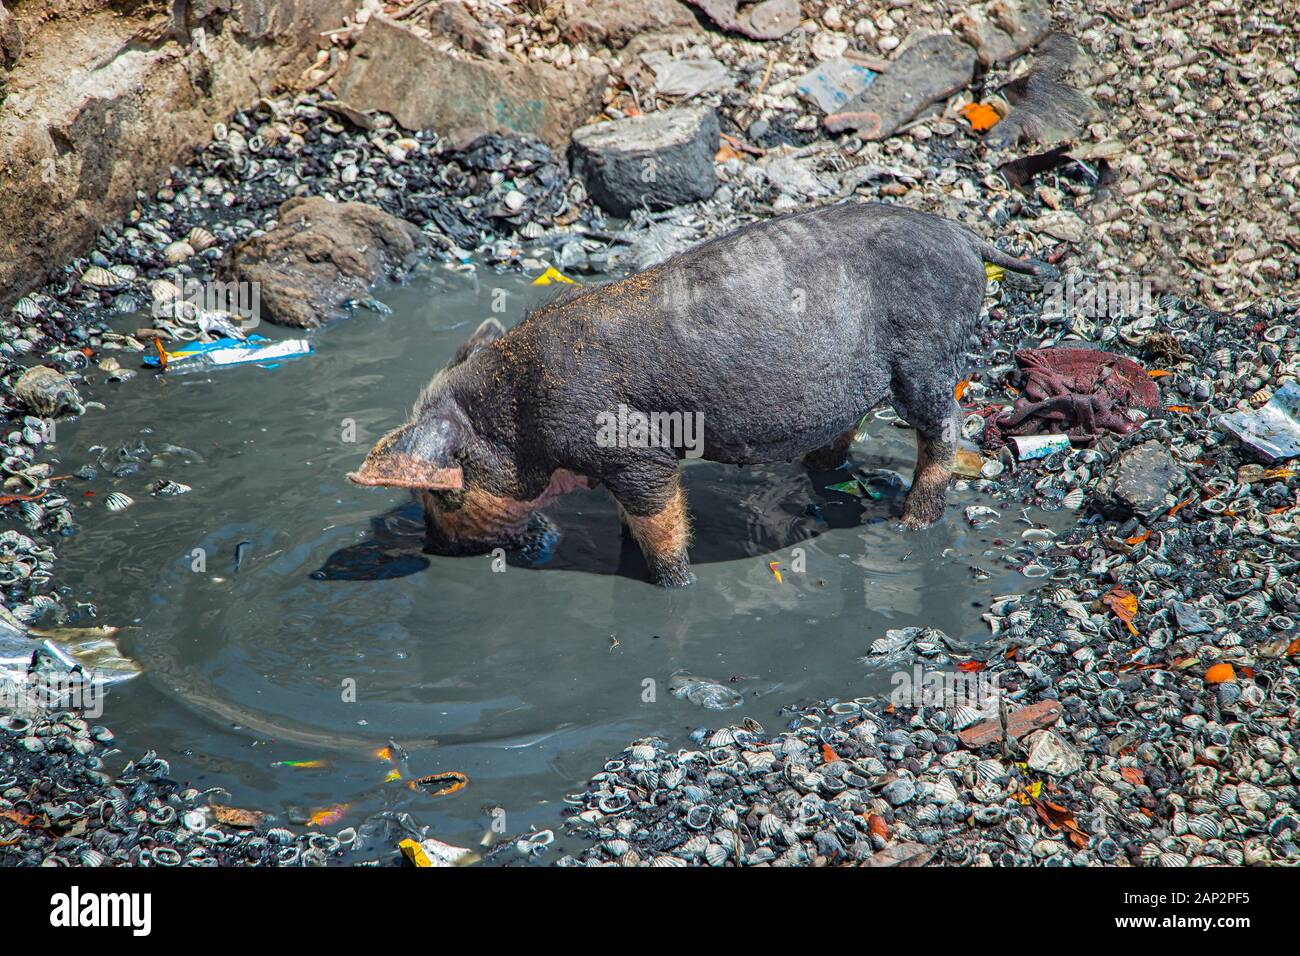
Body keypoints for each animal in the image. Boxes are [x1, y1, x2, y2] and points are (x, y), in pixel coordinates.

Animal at [348, 202, 1040, 586]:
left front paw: (672, 583)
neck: (516, 410)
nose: (433, 547)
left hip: (926, 355)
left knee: (944, 428)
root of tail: (968, 238)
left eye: (440, 492)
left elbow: (661, 524)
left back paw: (912, 524)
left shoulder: (634, 449)